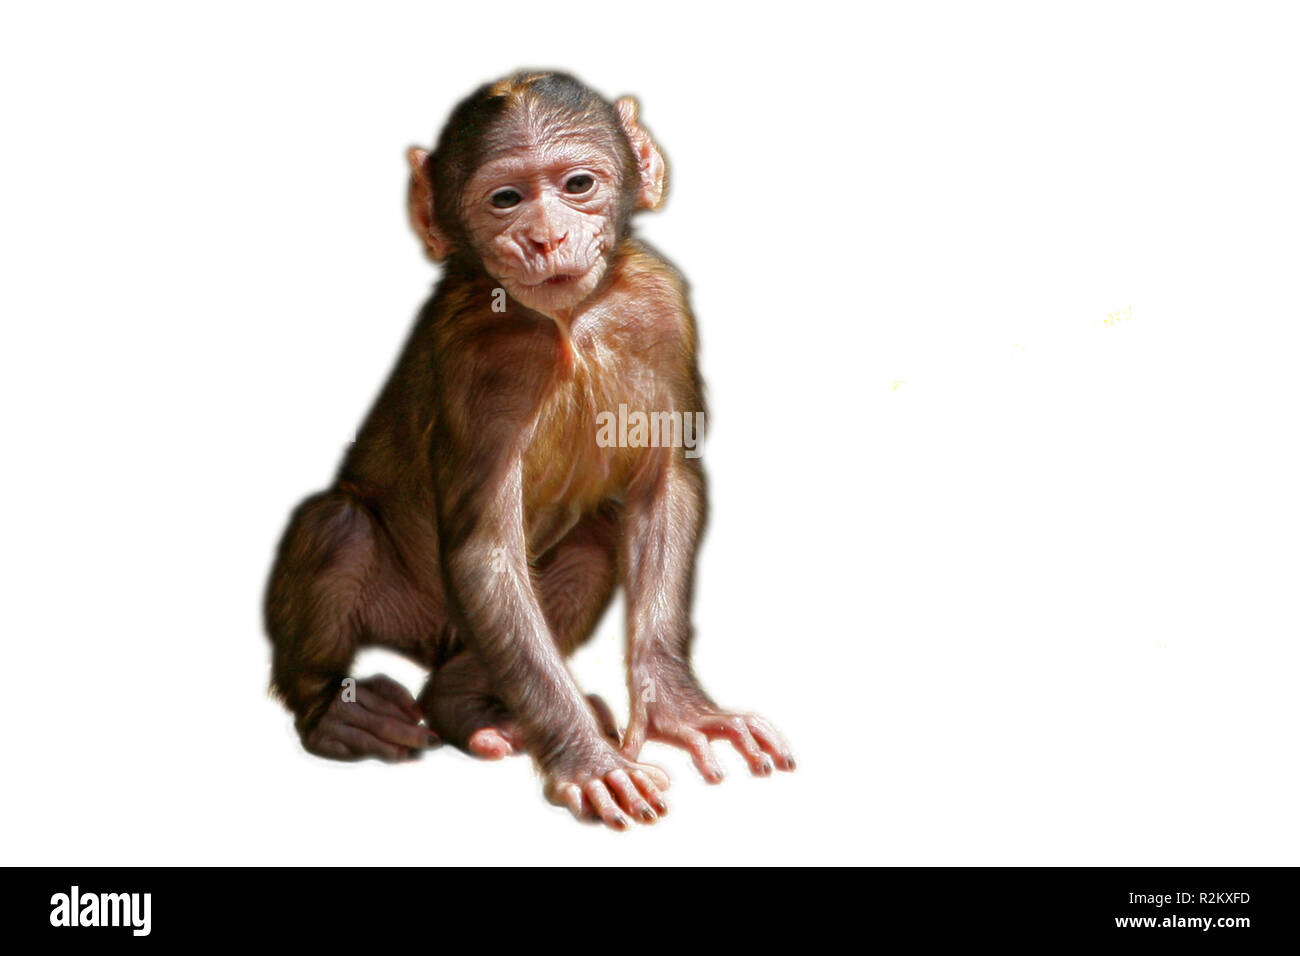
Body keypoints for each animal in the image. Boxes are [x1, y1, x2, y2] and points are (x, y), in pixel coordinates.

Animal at [265, 71, 794, 829]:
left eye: (577, 184)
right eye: (506, 199)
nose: (544, 237)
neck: (566, 321)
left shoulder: (661, 307)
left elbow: (663, 486)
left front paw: (678, 706)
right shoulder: (473, 357)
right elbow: (486, 549)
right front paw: (590, 764)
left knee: (592, 546)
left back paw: (463, 705)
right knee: (337, 523)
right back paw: (333, 712)